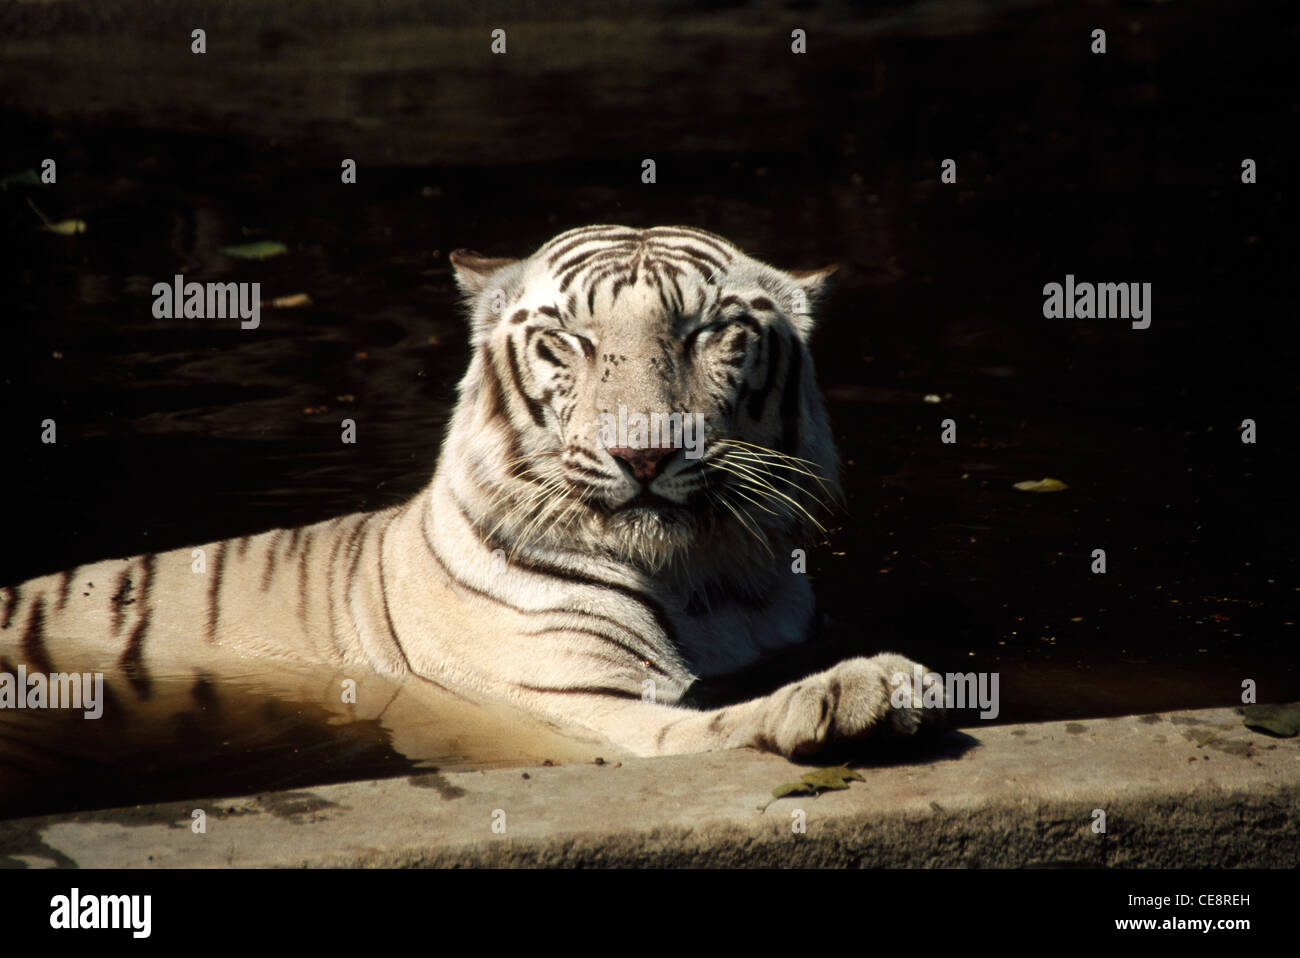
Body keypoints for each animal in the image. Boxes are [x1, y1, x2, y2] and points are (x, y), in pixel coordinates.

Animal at [0, 224, 946, 767]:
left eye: (708, 332)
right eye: (571, 339)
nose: (642, 453)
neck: (707, 582)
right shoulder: (569, 707)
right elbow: (703, 731)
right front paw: (859, 690)